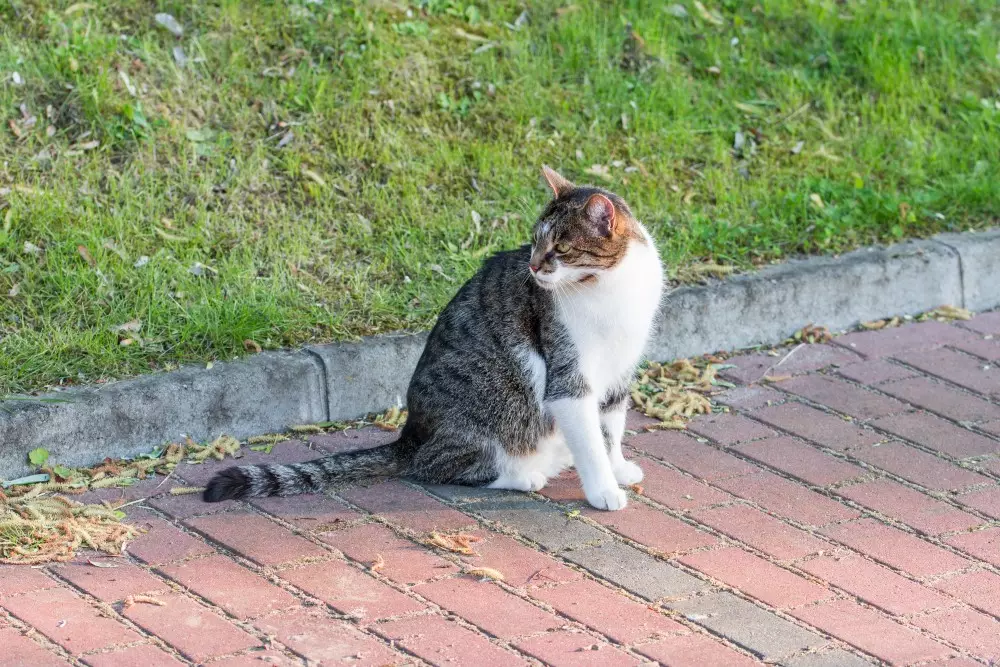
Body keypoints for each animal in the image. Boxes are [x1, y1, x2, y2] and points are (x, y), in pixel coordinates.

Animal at [201, 167, 664, 512]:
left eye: (561, 249)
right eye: (534, 241)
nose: (534, 267)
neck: (610, 288)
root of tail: (411, 435)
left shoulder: (619, 372)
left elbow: (610, 429)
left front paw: (618, 468)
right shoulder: (568, 378)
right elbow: (591, 440)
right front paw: (604, 489)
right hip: (496, 410)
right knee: (439, 466)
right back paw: (522, 475)